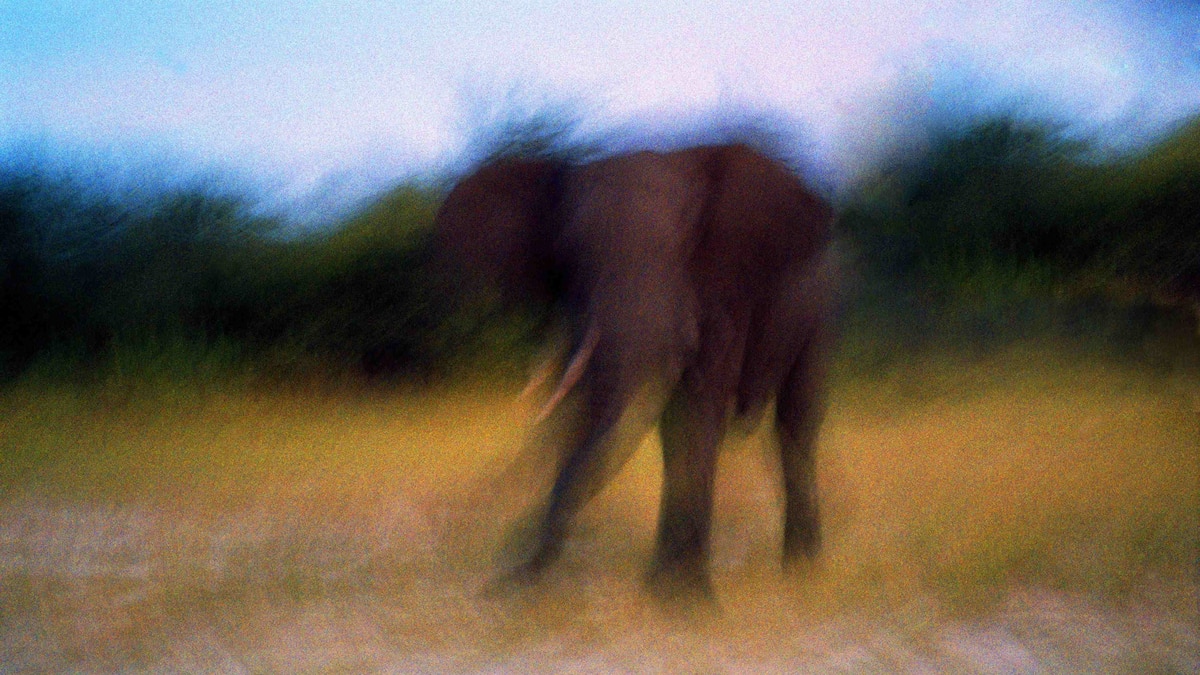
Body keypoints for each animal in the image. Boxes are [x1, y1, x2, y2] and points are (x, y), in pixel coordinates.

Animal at [433, 143, 840, 598]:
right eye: (569, 251)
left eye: (684, 242)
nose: (502, 579)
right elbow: (595, 409)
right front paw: (666, 591)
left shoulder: (725, 287)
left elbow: (695, 411)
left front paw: (686, 599)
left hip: (823, 303)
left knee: (797, 420)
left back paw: (802, 570)